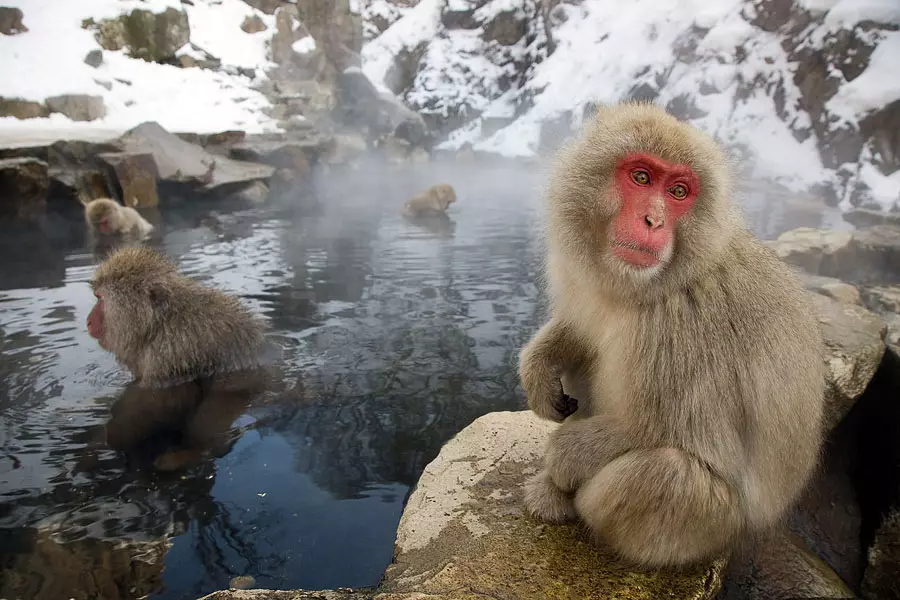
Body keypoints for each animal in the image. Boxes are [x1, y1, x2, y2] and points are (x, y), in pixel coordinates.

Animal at [85, 246, 268, 472]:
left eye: (100, 298)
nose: (88, 321)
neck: (159, 322)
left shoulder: (172, 350)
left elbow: (157, 400)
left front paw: (112, 438)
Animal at [516, 103, 828, 572]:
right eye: (642, 177)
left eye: (680, 191)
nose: (654, 220)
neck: (657, 282)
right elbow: (580, 329)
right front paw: (539, 365)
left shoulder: (683, 326)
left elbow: (676, 435)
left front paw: (564, 458)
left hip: (716, 527)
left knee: (664, 475)